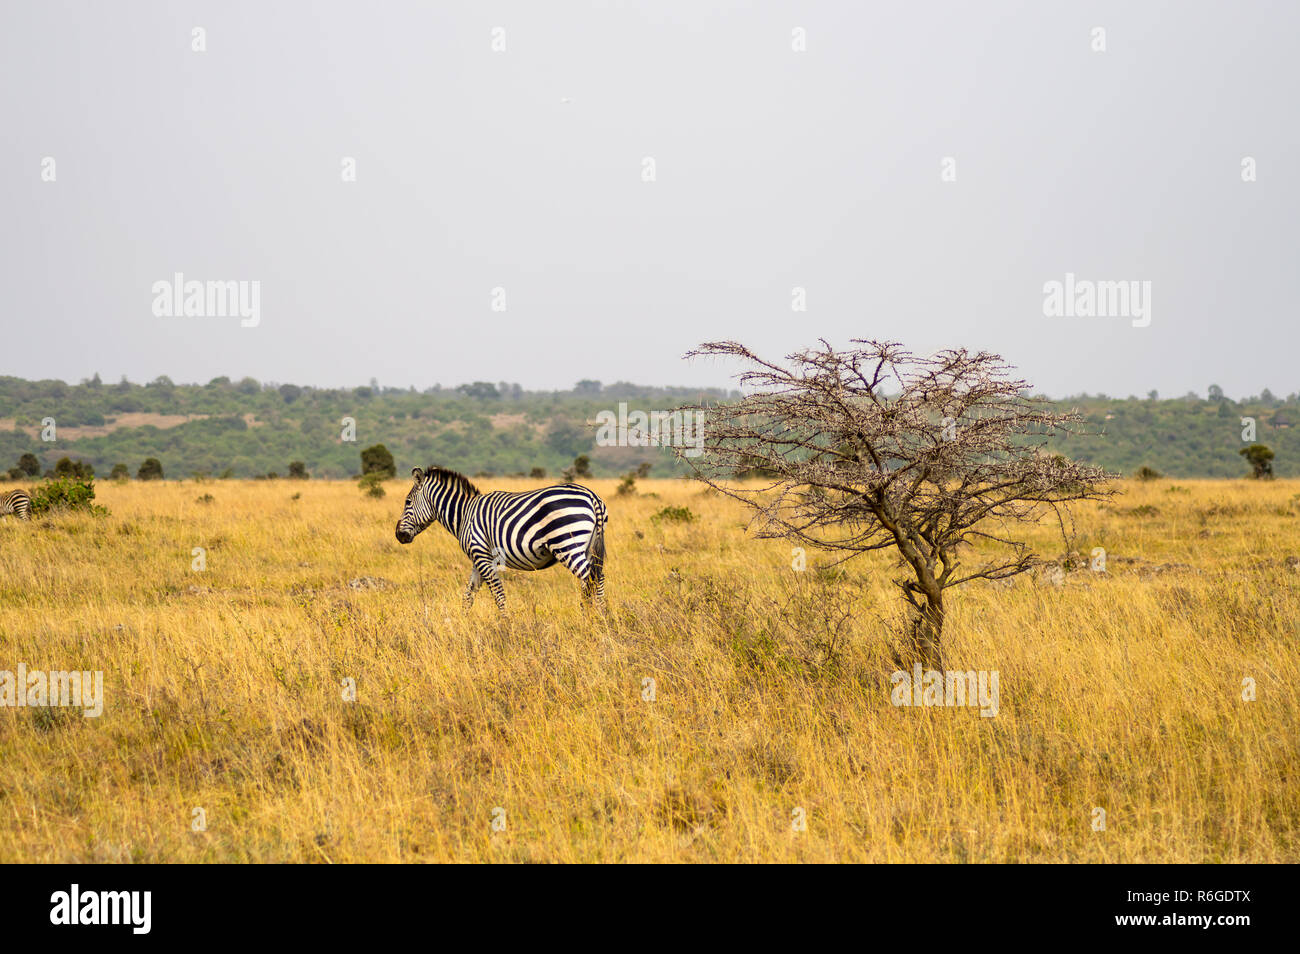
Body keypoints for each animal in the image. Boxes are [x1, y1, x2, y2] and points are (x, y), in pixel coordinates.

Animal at [395, 466, 607, 610]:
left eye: (407, 502)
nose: (398, 535)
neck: (464, 514)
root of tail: (592, 496)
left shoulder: (481, 555)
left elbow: (498, 594)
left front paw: (506, 628)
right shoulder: (479, 558)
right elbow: (468, 595)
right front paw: (463, 623)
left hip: (567, 544)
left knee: (591, 579)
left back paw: (596, 620)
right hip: (587, 548)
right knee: (594, 580)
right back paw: (598, 618)